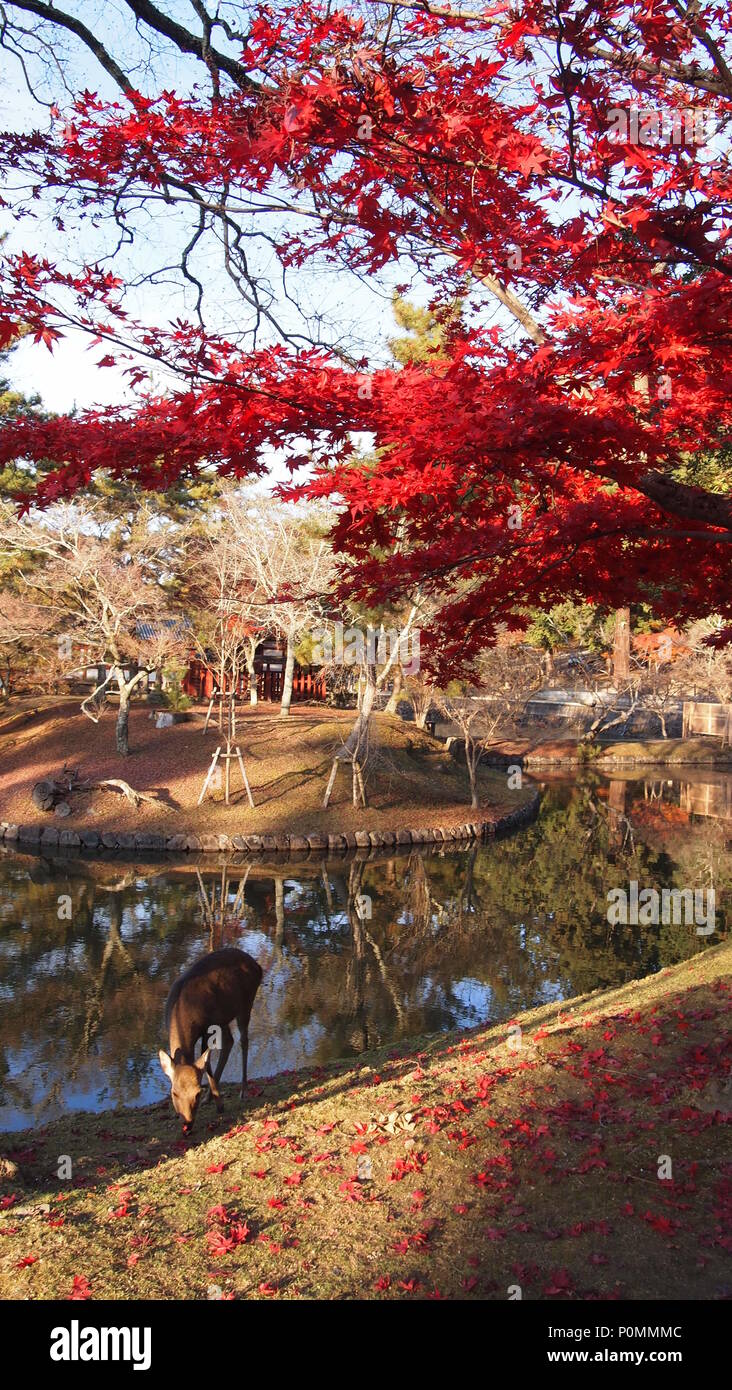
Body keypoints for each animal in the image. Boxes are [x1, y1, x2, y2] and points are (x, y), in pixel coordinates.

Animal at [158, 947, 263, 1133]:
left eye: (197, 1092)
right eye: (173, 1093)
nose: (187, 1123)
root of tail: (257, 966)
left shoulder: (207, 1026)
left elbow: (205, 1061)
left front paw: (219, 1104)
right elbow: (205, 1061)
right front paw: (214, 1099)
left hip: (245, 1003)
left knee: (243, 1040)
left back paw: (243, 1090)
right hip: (223, 1017)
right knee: (229, 1041)